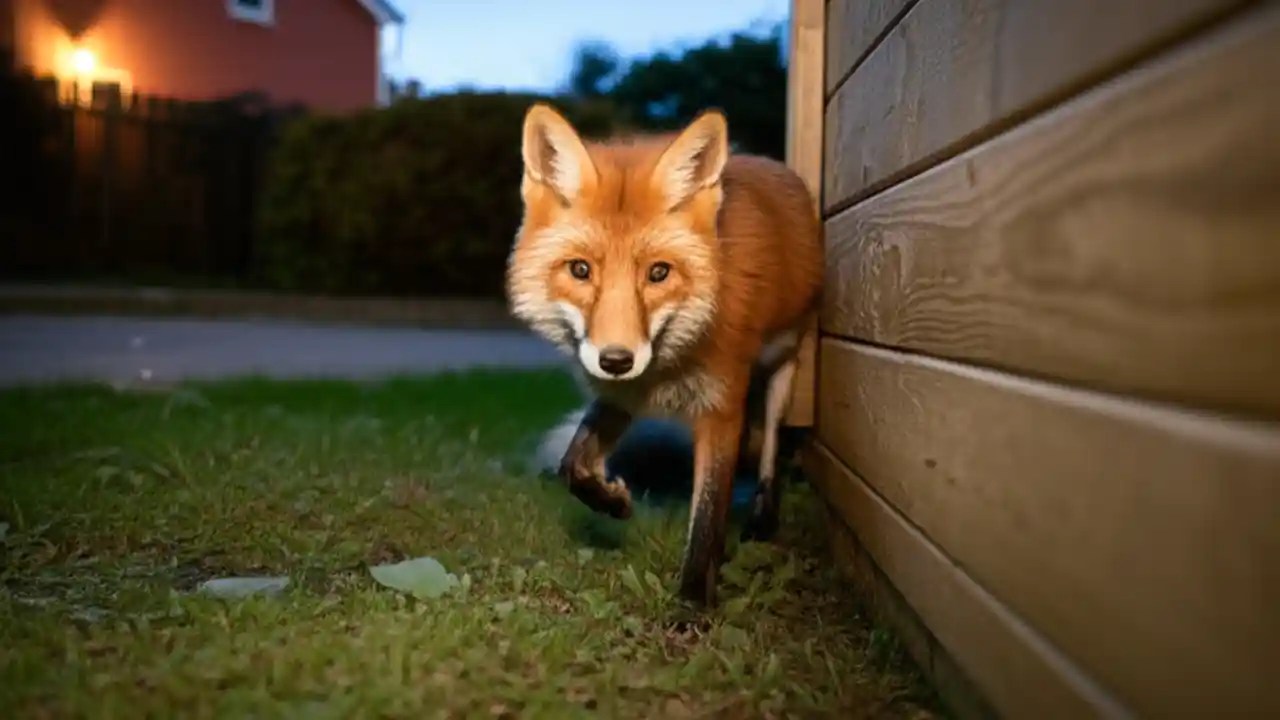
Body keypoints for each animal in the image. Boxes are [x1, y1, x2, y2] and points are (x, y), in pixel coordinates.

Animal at [505, 102, 824, 607]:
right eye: (580, 269)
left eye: (659, 273)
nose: (616, 360)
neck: (672, 359)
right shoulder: (624, 392)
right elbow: (573, 463)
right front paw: (611, 501)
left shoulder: (721, 404)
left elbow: (707, 519)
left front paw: (693, 604)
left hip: (784, 366)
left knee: (773, 444)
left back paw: (761, 518)